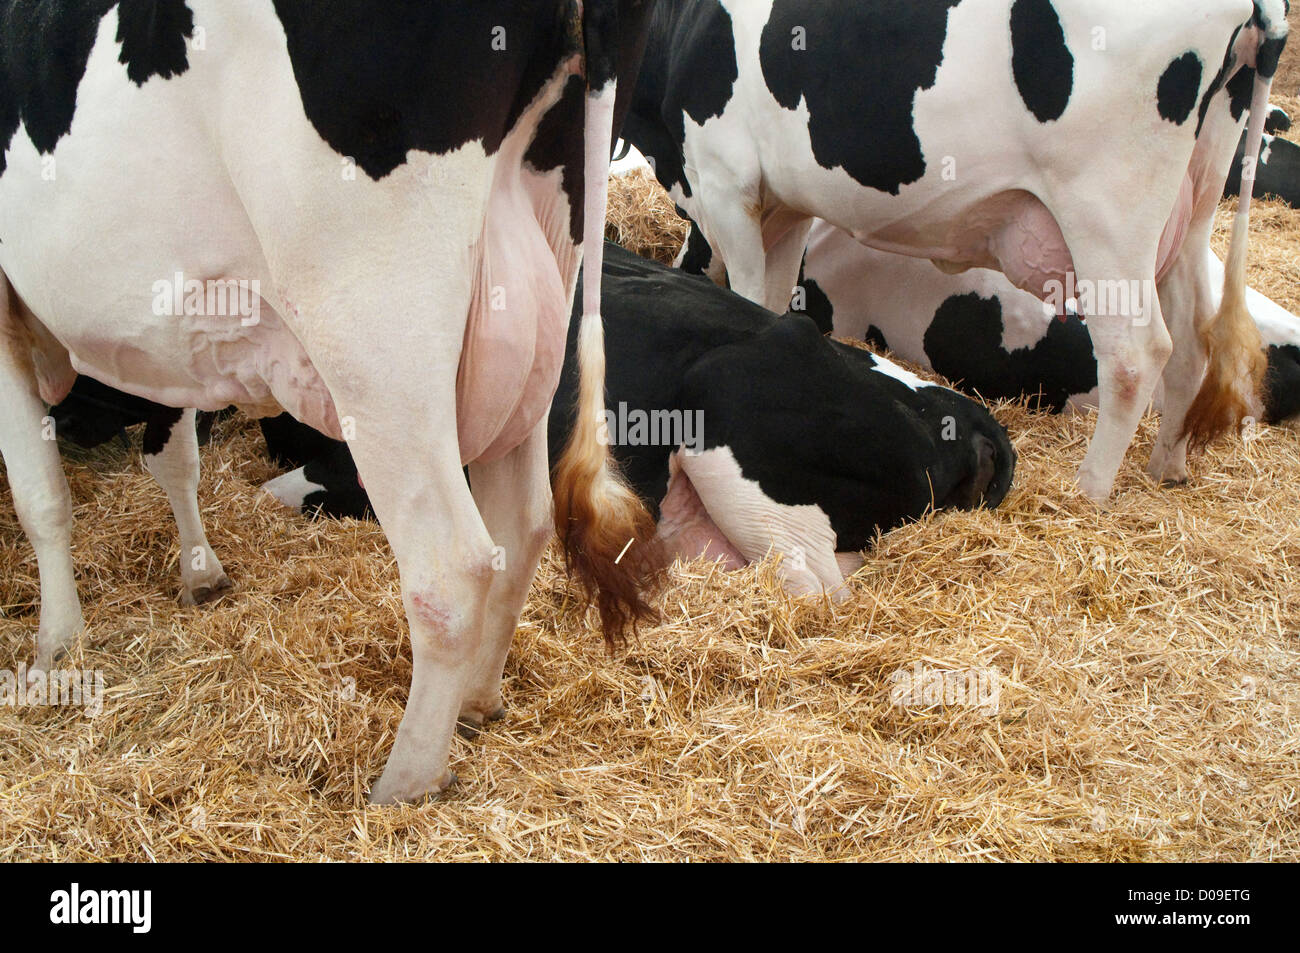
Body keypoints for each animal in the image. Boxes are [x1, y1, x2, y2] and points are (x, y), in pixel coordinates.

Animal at [0, 0, 662, 804]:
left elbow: (40, 493)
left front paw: (56, 645)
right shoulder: (171, 332)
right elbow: (175, 454)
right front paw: (200, 574)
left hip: (375, 324)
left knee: (452, 564)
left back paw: (401, 787)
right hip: (539, 279)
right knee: (525, 521)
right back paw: (476, 705)